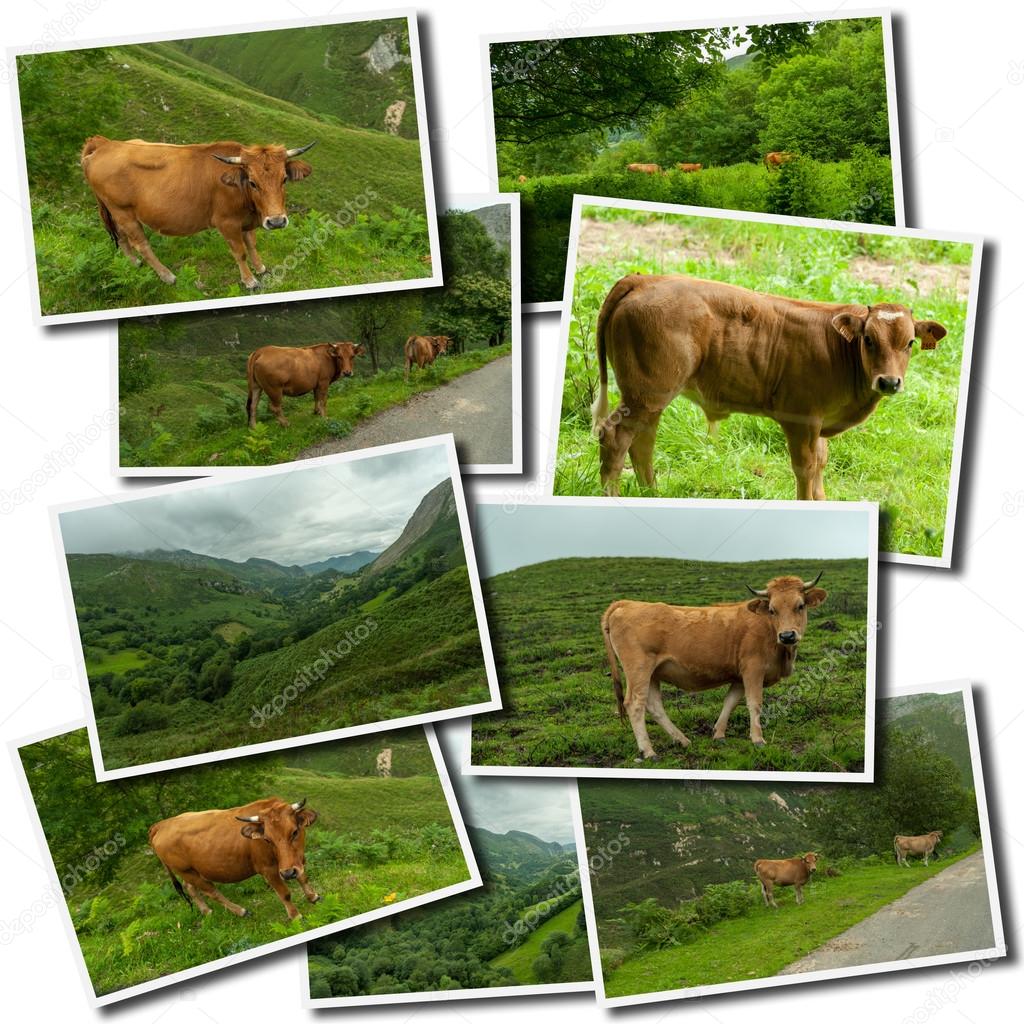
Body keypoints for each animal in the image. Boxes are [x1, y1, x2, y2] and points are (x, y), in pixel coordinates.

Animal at [80, 136, 316, 289]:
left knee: (121, 238)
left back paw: (134, 263)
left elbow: (251, 244)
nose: (276, 221)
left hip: (114, 211)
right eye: (252, 182)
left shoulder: (246, 220)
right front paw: (249, 280)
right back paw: (168, 276)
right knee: (141, 243)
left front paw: (261, 268)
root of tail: (105, 144)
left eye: (284, 179)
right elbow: (240, 252)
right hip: (123, 212)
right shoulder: (227, 222)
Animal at [149, 797, 320, 920]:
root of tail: (162, 824)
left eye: (295, 832)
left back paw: (207, 911)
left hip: (191, 871)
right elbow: (284, 893)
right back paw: (241, 911)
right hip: (186, 871)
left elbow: (303, 877)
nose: (288, 874)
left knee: (190, 888)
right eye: (267, 839)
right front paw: (295, 916)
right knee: (211, 891)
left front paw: (313, 896)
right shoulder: (268, 869)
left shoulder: (296, 861)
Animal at [590, 274, 947, 500]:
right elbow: (805, 468)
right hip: (647, 392)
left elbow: (821, 463)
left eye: (910, 342)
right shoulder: (801, 419)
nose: (889, 381)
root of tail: (645, 279)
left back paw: (652, 493)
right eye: (869, 339)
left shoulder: (819, 424)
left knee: (642, 442)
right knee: (617, 436)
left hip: (650, 397)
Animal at [602, 573, 827, 760]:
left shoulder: (739, 676)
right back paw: (649, 751)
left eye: (800, 605)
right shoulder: (753, 669)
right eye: (772, 610)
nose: (787, 635)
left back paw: (682, 740)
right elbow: (754, 703)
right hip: (638, 669)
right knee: (634, 704)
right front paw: (757, 739)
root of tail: (626, 604)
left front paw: (718, 734)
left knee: (654, 705)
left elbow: (730, 702)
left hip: (653, 674)